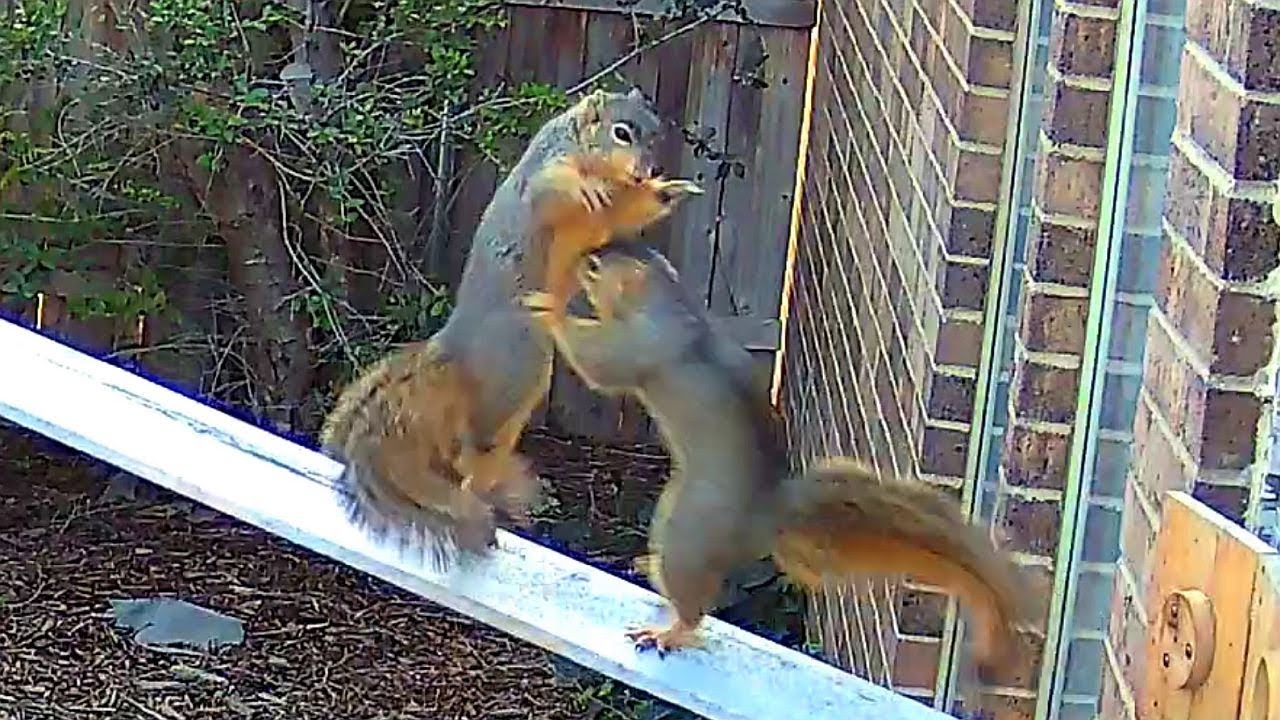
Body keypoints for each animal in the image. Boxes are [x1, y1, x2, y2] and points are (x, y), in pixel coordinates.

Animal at [320, 88, 702, 568]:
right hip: (520, 361)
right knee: (475, 442)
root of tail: (456, 347)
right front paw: (586, 186)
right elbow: (550, 190)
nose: (650, 169)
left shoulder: (616, 210)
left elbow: (632, 212)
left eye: (656, 133)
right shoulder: (544, 172)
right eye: (621, 132)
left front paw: (671, 191)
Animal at [519, 240, 1038, 676]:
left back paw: (670, 631)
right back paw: (651, 569)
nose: (578, 258)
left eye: (595, 266)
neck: (666, 304)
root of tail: (768, 515)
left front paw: (551, 305)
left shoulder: (642, 346)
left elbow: (600, 364)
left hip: (694, 530)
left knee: (695, 605)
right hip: (673, 515)